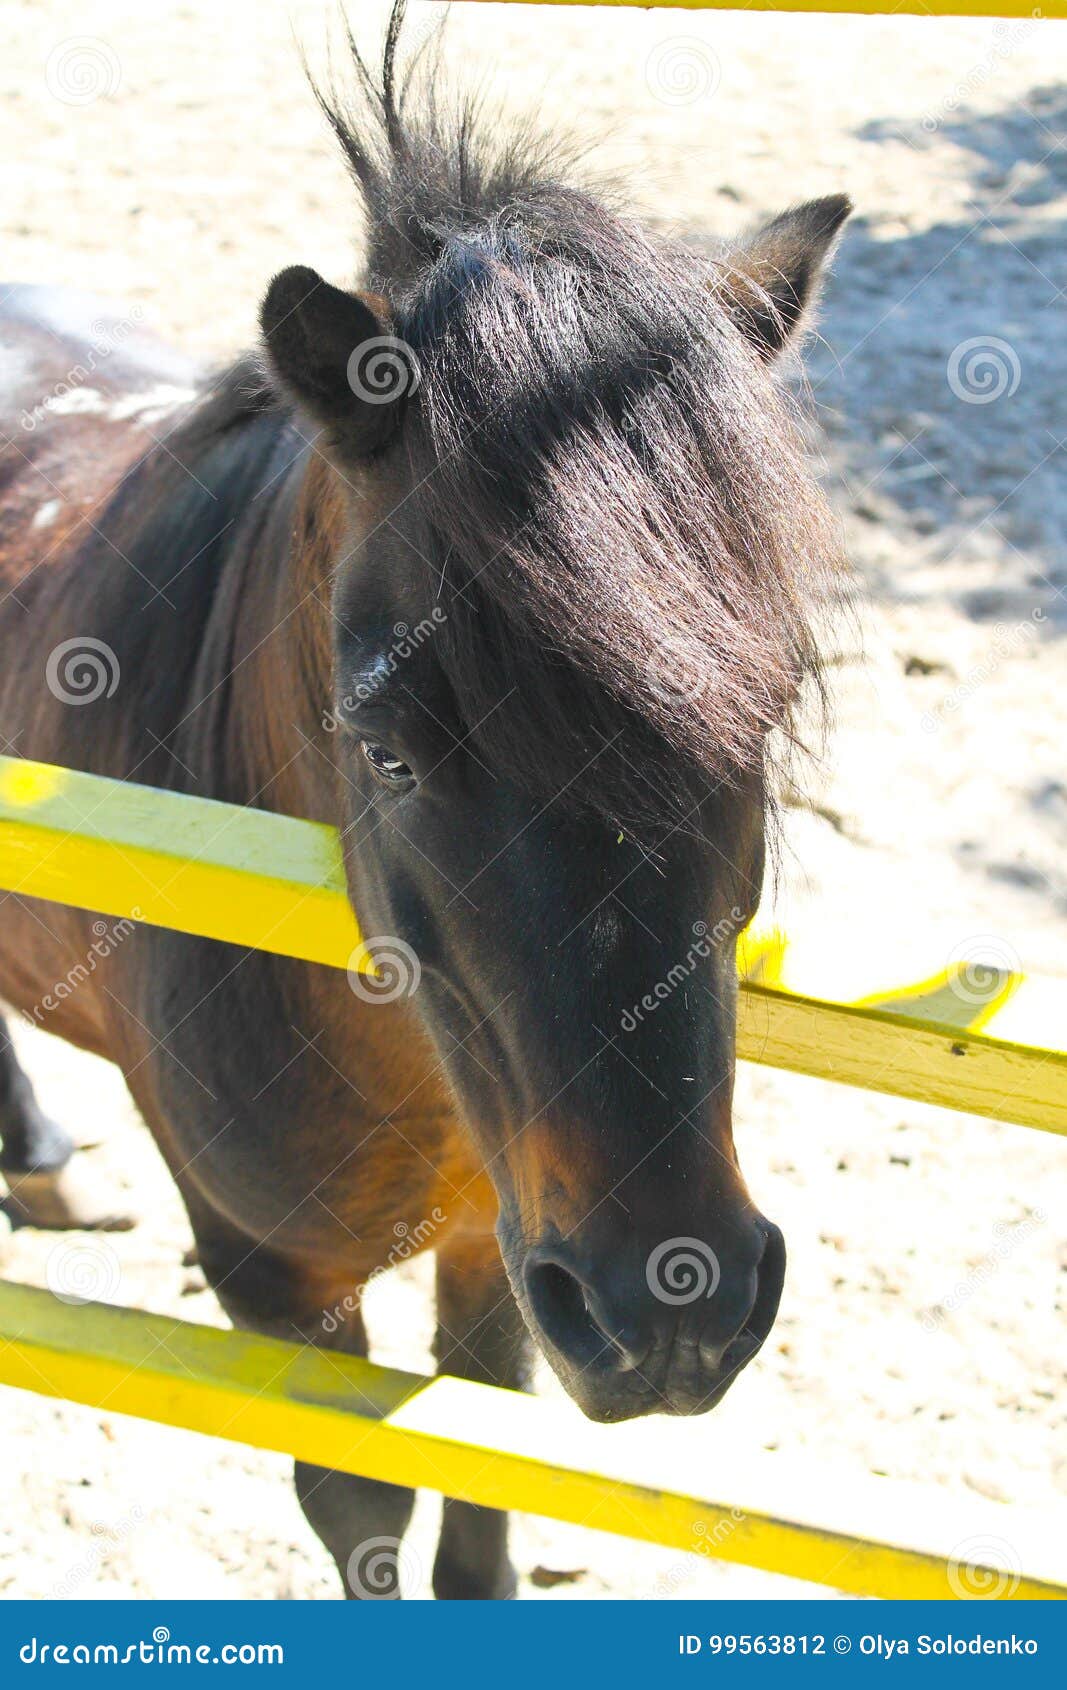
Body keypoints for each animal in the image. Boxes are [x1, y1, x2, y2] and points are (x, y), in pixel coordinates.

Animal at [0, 3, 849, 1597]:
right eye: (388, 749)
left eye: (756, 719)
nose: (674, 1305)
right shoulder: (280, 1288)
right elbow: (366, 1515)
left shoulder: (503, 1240)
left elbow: (480, 1485)